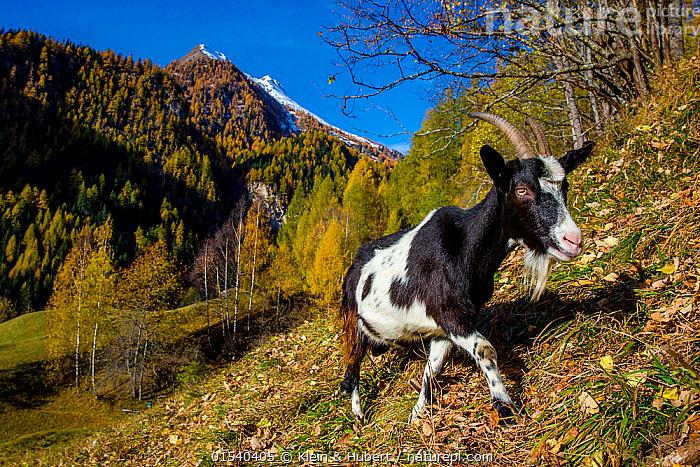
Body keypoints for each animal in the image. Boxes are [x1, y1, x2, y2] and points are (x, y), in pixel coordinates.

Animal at [338, 112, 594, 423]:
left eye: (564, 187)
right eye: (522, 190)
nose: (573, 240)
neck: (464, 248)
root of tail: (353, 265)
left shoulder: (442, 327)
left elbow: (432, 370)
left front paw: (417, 416)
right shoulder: (450, 314)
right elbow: (485, 350)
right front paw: (504, 405)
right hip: (354, 323)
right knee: (352, 366)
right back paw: (358, 416)